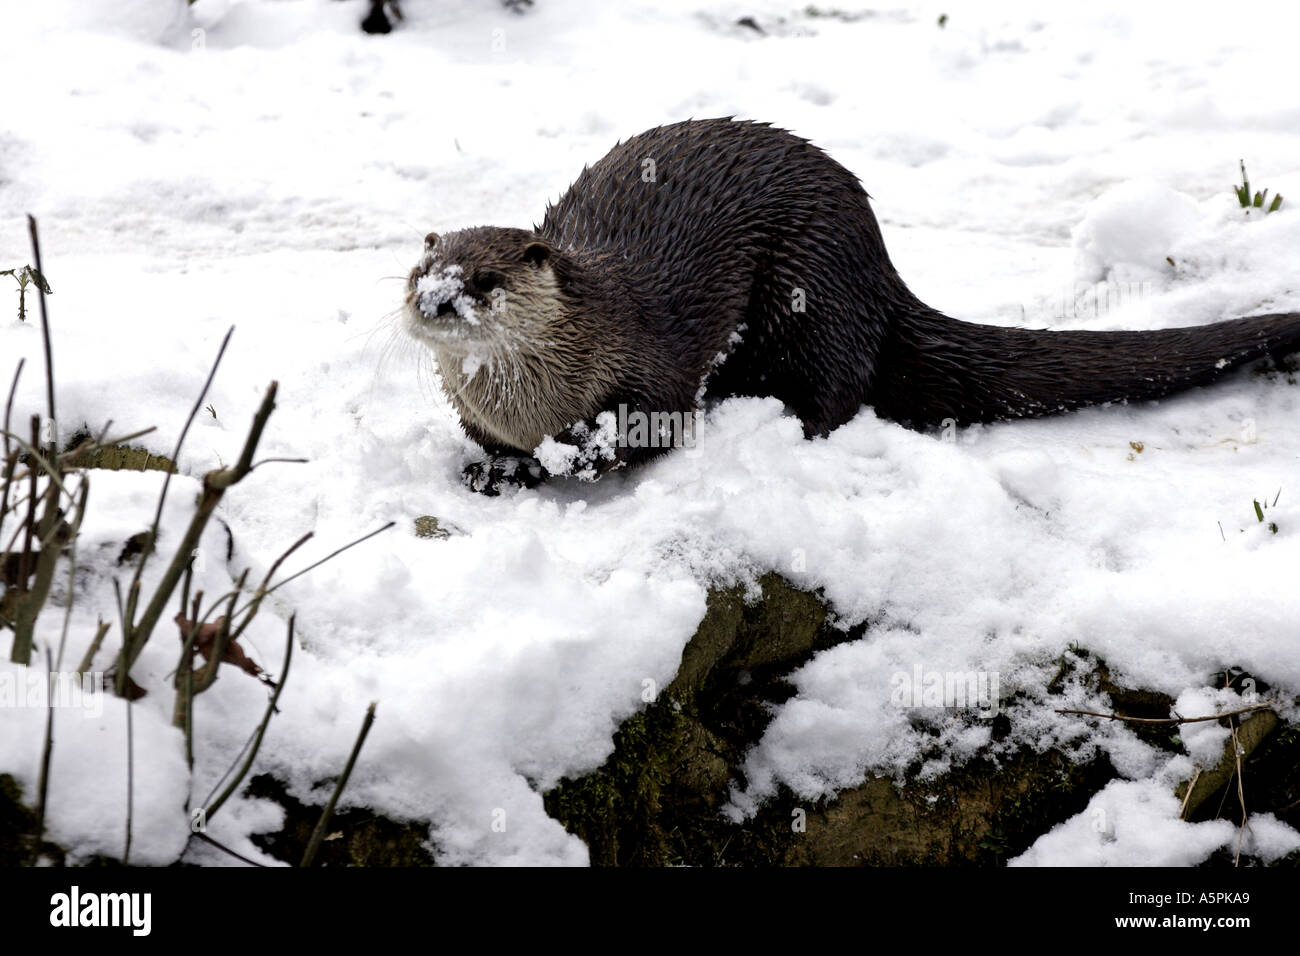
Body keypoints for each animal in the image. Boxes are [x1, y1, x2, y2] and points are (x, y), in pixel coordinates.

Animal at [404, 118, 1300, 494]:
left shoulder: (649, 361)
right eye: (424, 271)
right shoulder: (477, 411)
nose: (440, 301)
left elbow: (653, 426)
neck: (534, 402)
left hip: (815, 292)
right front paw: (493, 471)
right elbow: (486, 444)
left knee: (833, 391)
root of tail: (883, 274)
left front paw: (575, 460)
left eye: (485, 281)